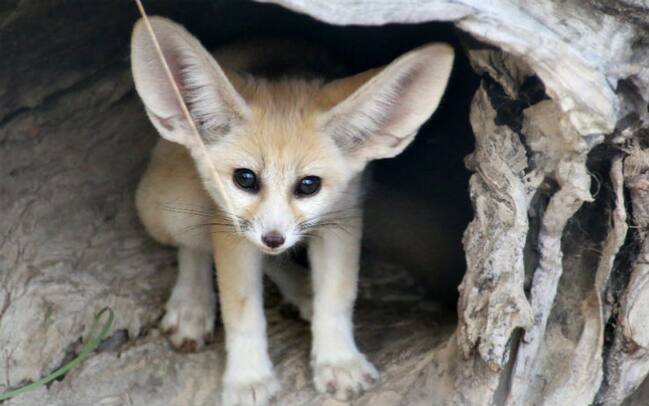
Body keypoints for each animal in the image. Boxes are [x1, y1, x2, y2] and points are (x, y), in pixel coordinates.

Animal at [130, 16, 454, 406]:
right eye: (245, 178)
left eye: (309, 185)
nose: (273, 238)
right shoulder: (231, 228)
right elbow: (242, 310)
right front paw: (248, 379)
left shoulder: (343, 217)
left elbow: (337, 296)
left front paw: (338, 361)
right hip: (170, 205)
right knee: (193, 248)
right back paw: (193, 304)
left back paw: (301, 290)